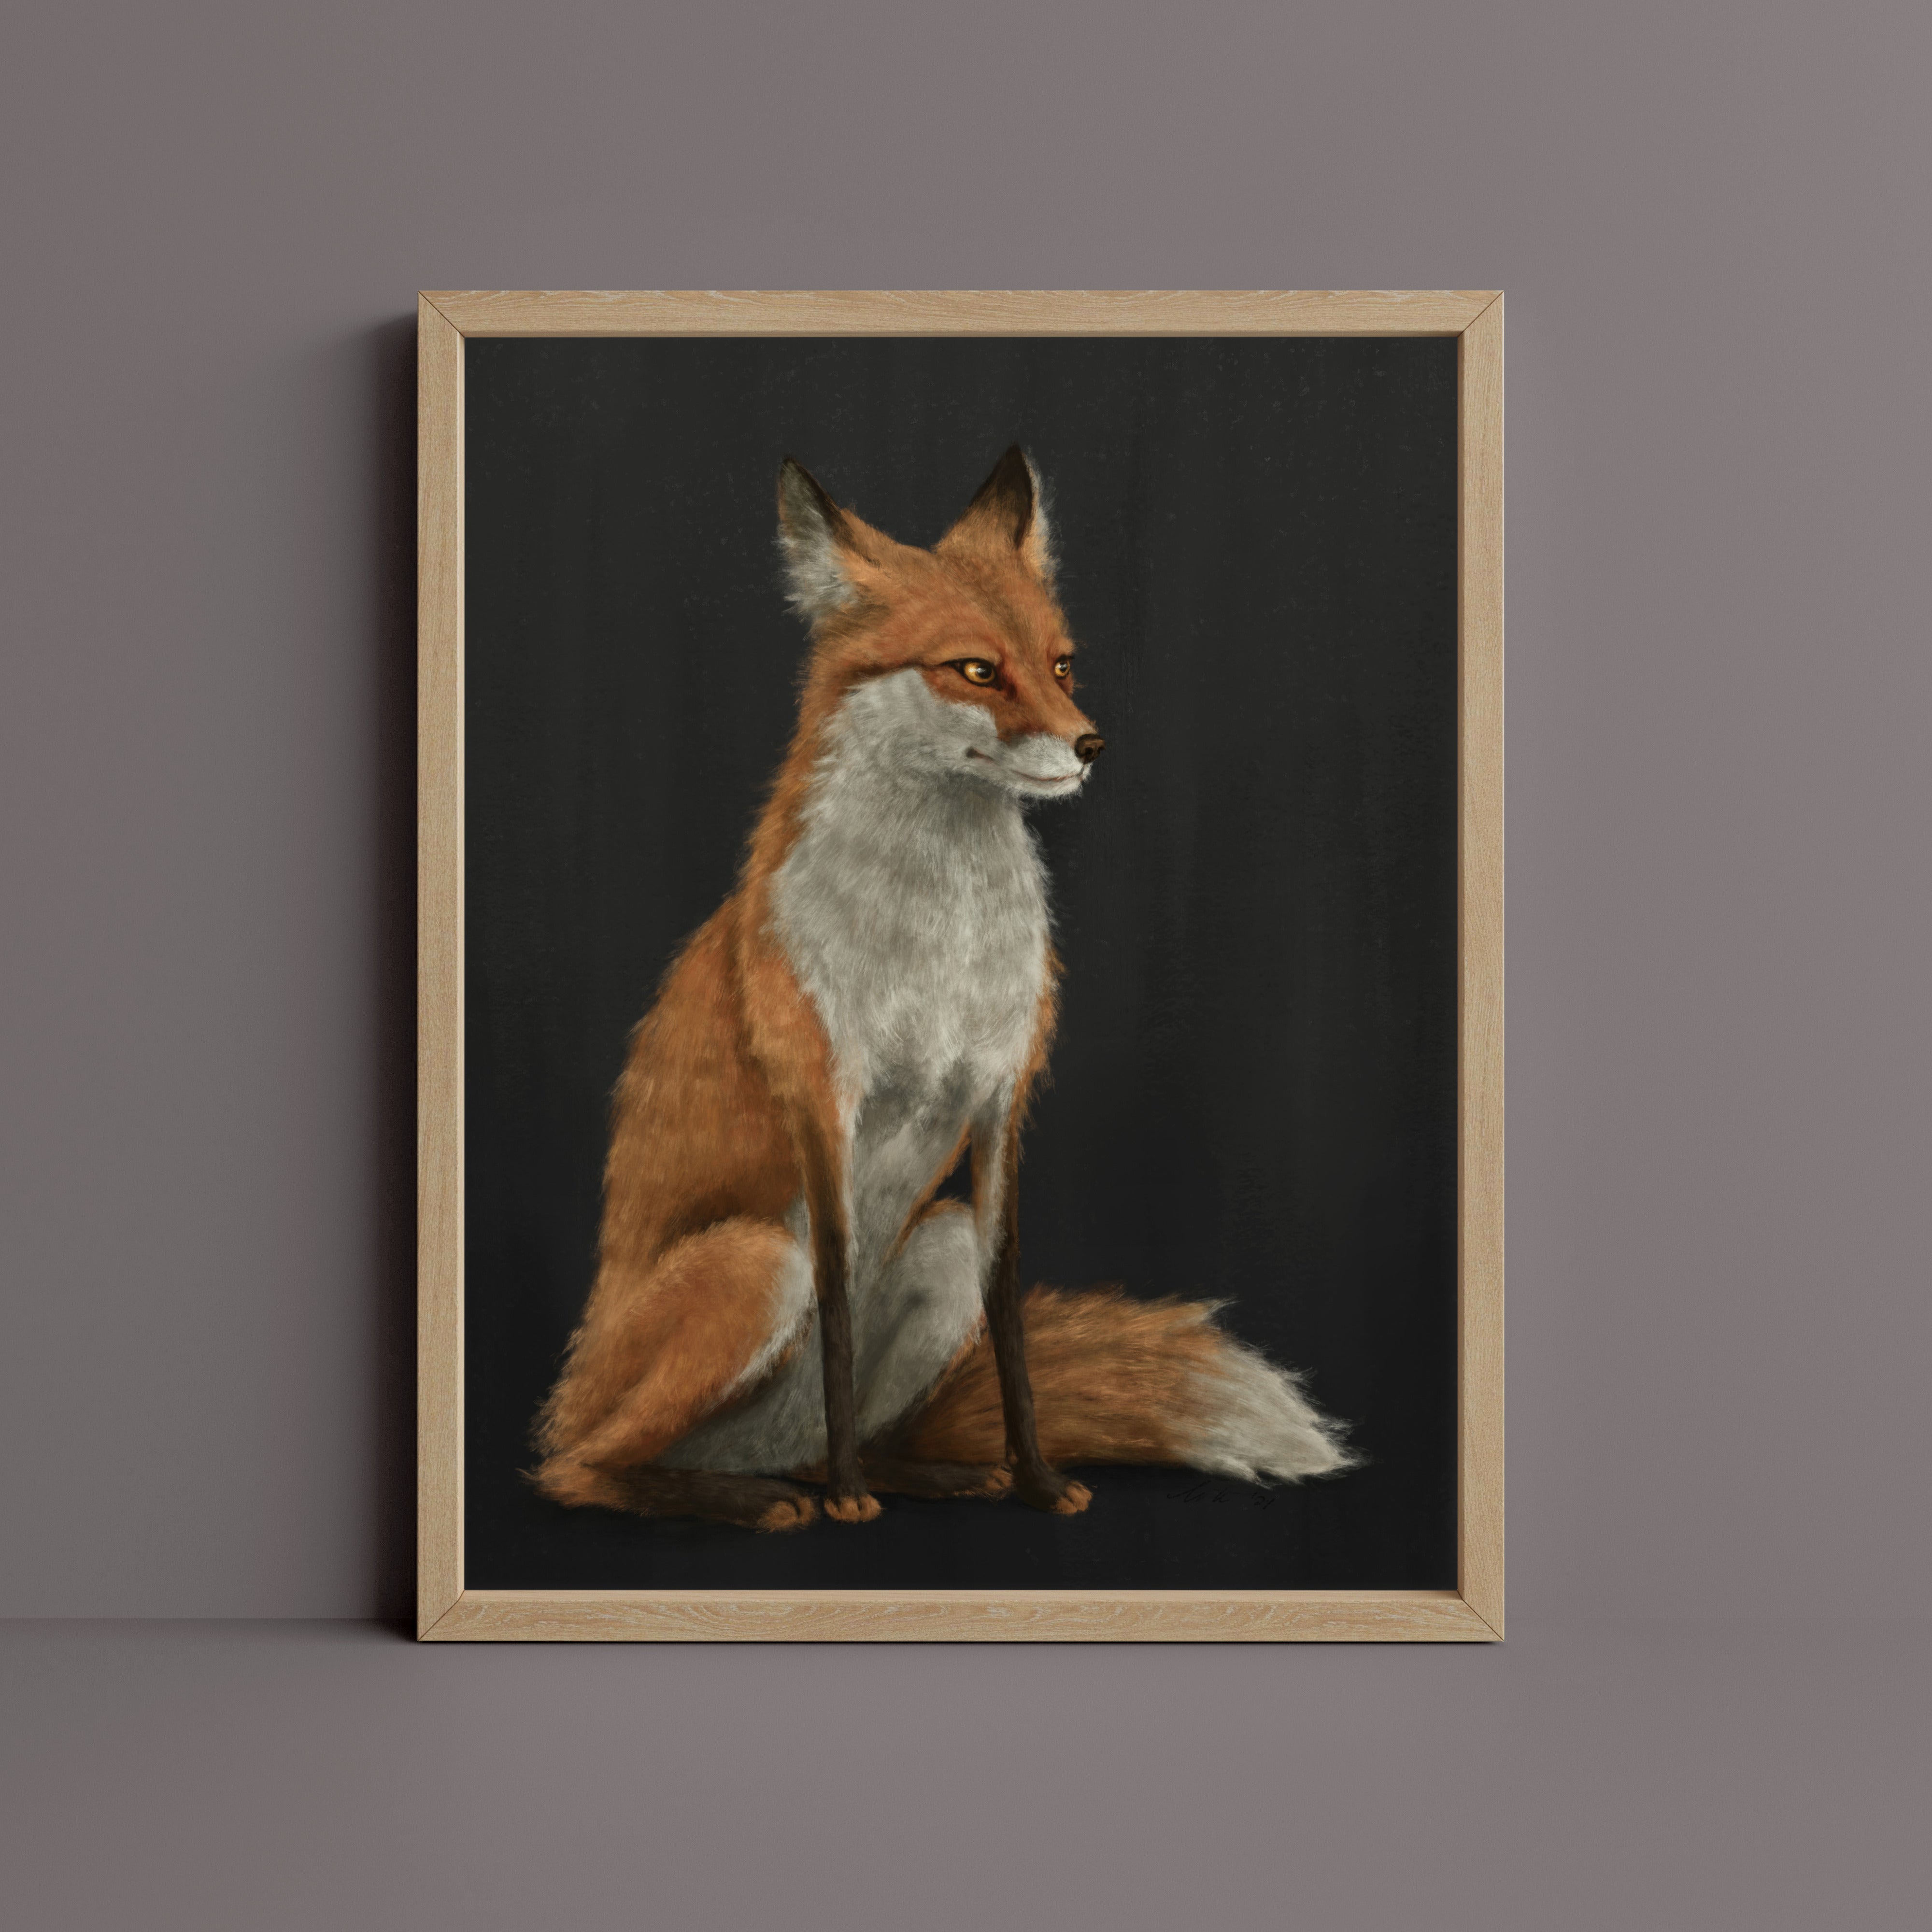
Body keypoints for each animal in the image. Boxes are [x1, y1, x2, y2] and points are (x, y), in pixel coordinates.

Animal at [531, 446, 1352, 1531]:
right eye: (975, 670)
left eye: (1061, 664)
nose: (1091, 745)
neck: (941, 947)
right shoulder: (824, 1102)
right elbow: (838, 1308)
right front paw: (851, 1500)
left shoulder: (1001, 1100)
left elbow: (1009, 1324)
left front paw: (1035, 1480)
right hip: (754, 1263)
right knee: (580, 1469)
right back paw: (761, 1496)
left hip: (938, 1244)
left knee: (823, 1436)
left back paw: (913, 1474)